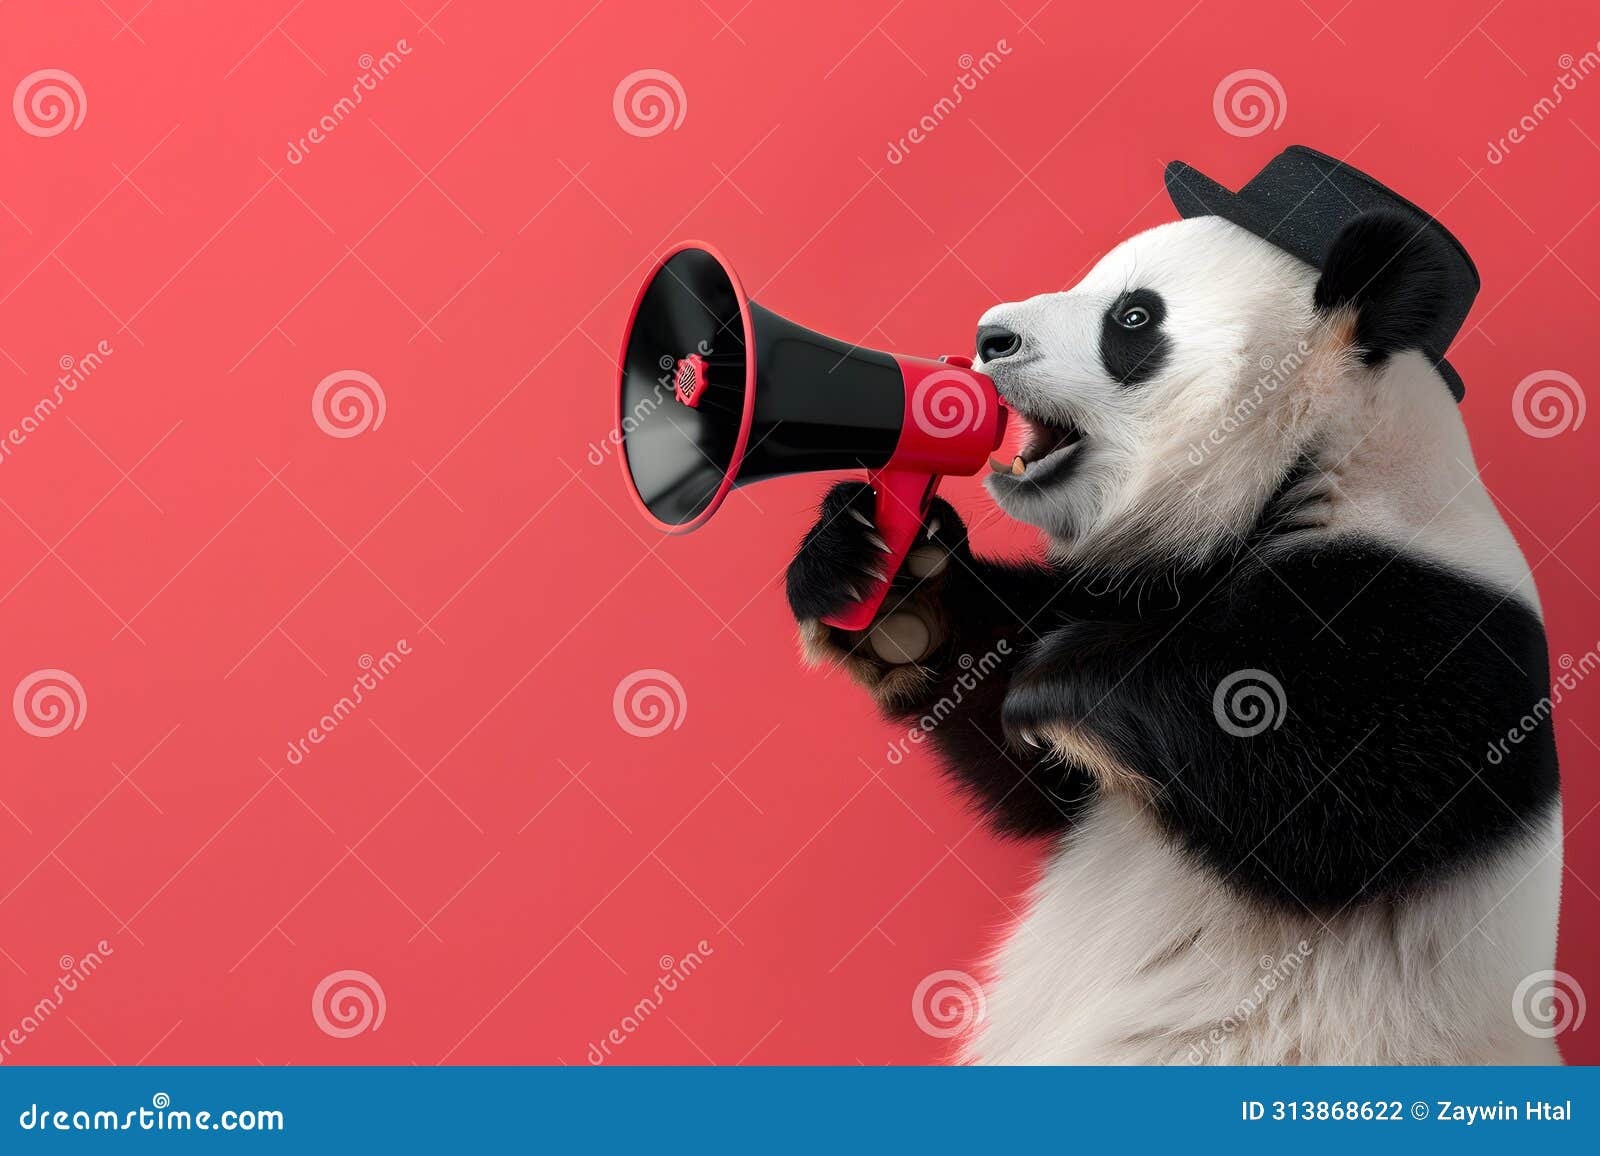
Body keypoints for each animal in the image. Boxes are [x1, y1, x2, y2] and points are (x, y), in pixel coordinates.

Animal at [785, 154, 1564, 1065]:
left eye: (1132, 317)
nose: (990, 337)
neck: (1313, 456)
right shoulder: (1155, 578)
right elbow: (1041, 781)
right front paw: (885, 580)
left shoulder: (1441, 622)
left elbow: (1332, 790)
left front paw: (1059, 681)